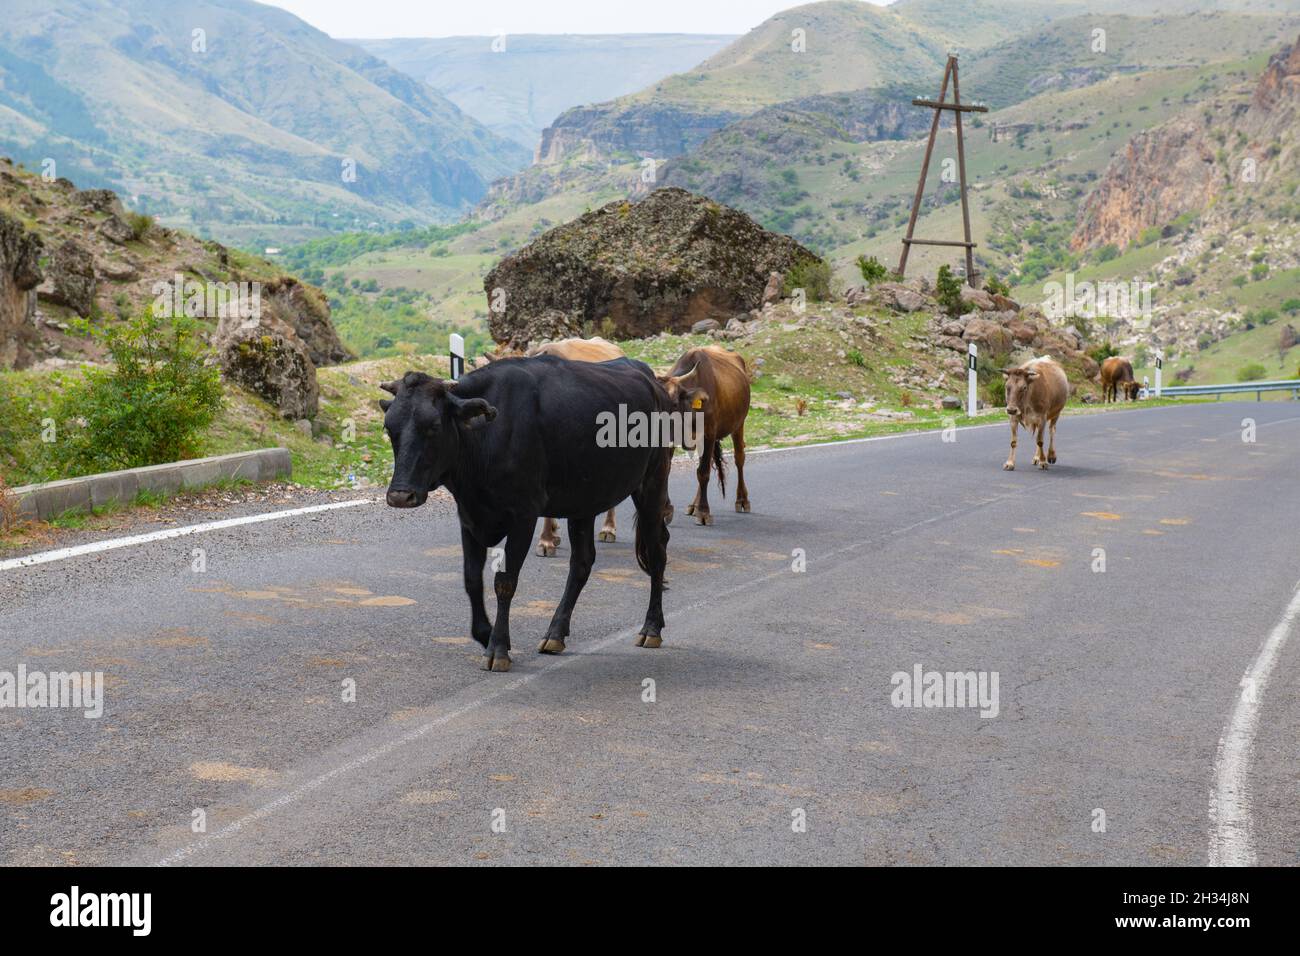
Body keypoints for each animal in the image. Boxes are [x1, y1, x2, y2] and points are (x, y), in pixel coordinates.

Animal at [658, 345, 752, 524]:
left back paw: (742, 500)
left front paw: (703, 512)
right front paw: (665, 510)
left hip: (739, 424)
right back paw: (693, 505)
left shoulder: (708, 433)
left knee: (739, 459)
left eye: (674, 404)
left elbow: (703, 473)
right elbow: (667, 469)